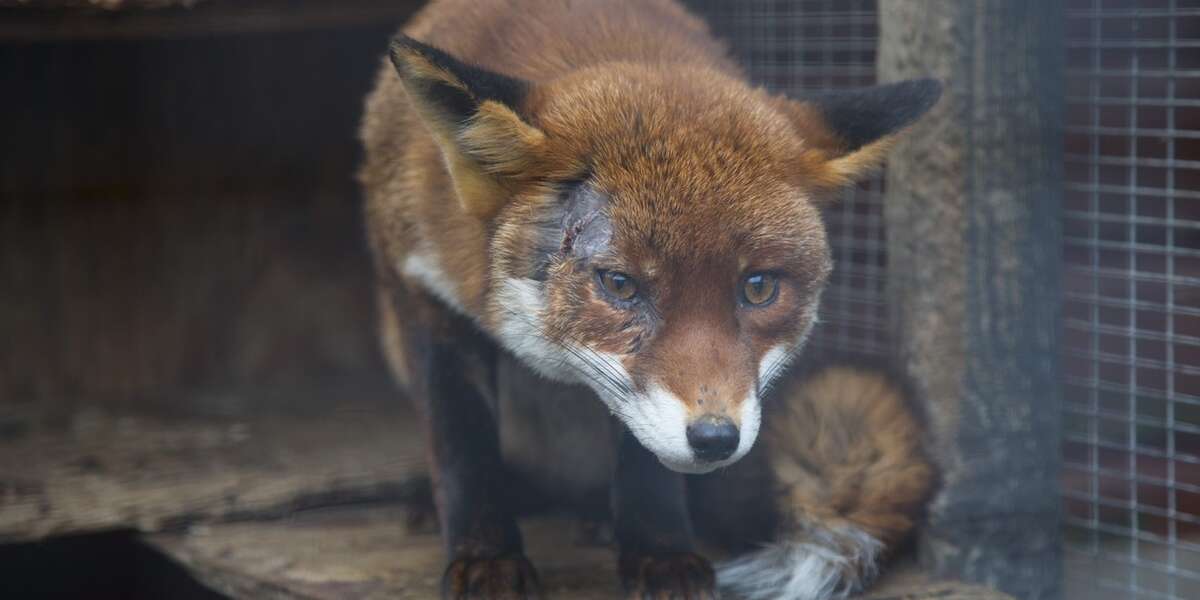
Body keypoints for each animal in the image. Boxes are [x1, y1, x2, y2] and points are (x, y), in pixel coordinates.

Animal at [359, 0, 941, 598]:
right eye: (620, 284)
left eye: (758, 287)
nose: (715, 439)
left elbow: (647, 463)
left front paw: (660, 554)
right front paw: (486, 558)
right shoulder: (422, 293)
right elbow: (462, 447)